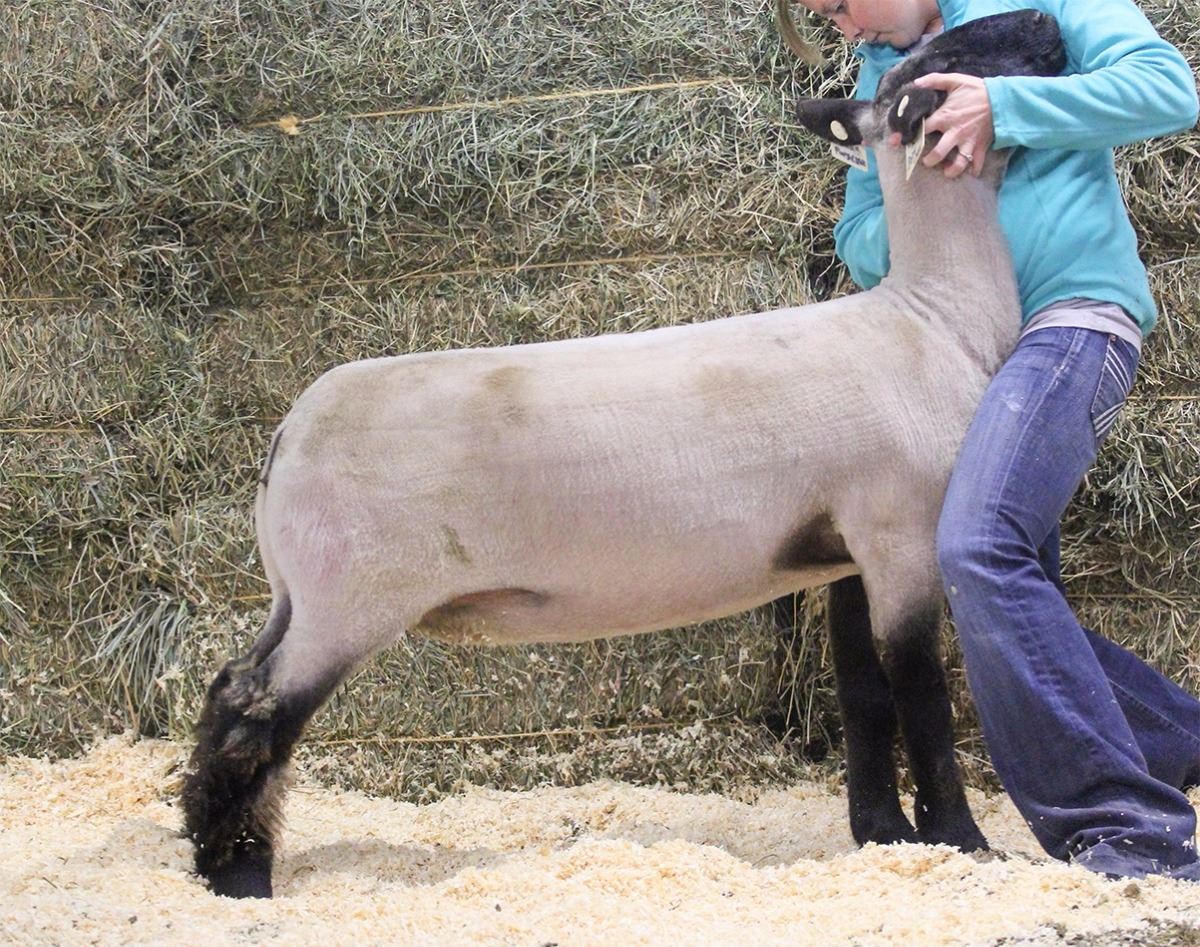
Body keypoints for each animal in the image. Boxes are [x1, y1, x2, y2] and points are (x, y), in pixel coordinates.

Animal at [182, 10, 1067, 899]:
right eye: (952, 57)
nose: (1045, 21)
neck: (931, 315)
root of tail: (287, 434)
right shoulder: (901, 532)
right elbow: (921, 692)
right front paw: (963, 840)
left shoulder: (849, 548)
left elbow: (865, 694)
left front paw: (884, 835)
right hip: (350, 597)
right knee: (258, 709)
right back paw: (241, 875)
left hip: (299, 593)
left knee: (229, 684)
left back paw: (209, 855)